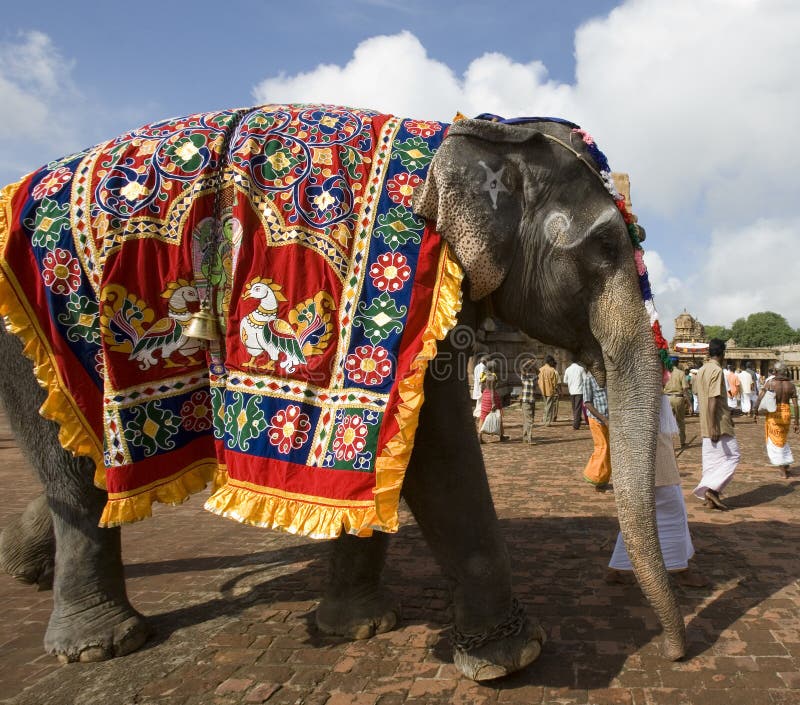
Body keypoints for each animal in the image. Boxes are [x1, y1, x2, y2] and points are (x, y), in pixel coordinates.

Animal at [0, 107, 686, 681]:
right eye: (606, 246)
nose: (677, 653)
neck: (473, 131)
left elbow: (390, 450)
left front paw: (359, 627)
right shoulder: (409, 295)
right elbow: (434, 448)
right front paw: (511, 659)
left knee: (81, 469)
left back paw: (28, 564)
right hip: (39, 336)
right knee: (75, 482)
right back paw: (98, 645)